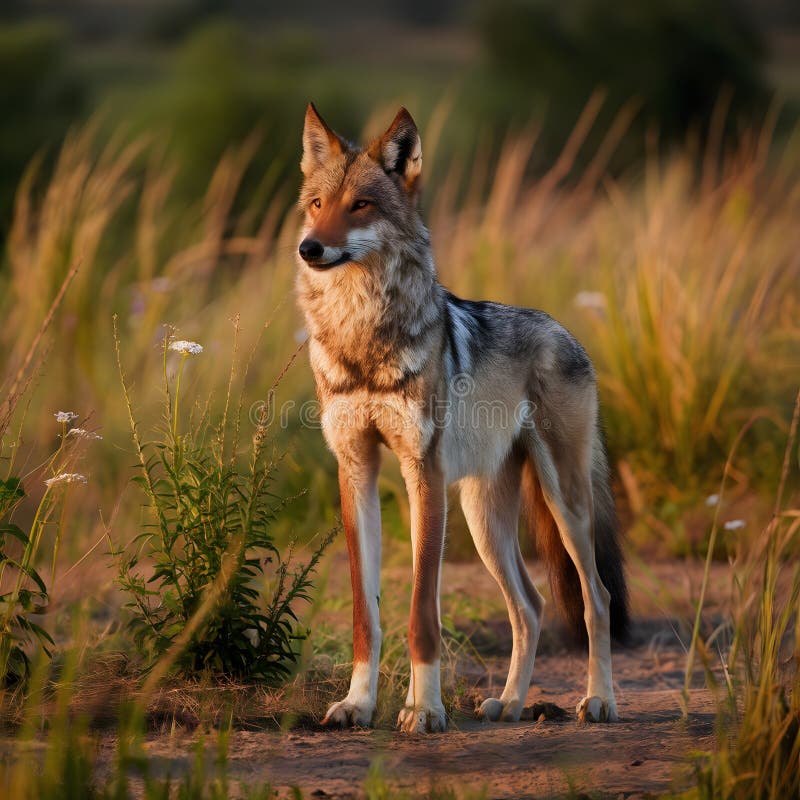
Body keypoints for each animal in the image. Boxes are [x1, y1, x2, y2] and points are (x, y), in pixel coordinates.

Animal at [295, 103, 629, 734]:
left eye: (361, 205)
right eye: (317, 204)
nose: (308, 248)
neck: (361, 336)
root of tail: (565, 329)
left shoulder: (421, 473)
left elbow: (422, 612)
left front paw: (424, 709)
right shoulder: (355, 471)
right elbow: (365, 615)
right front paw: (358, 704)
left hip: (563, 504)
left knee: (594, 598)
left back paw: (598, 701)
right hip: (483, 518)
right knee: (531, 606)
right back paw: (513, 703)